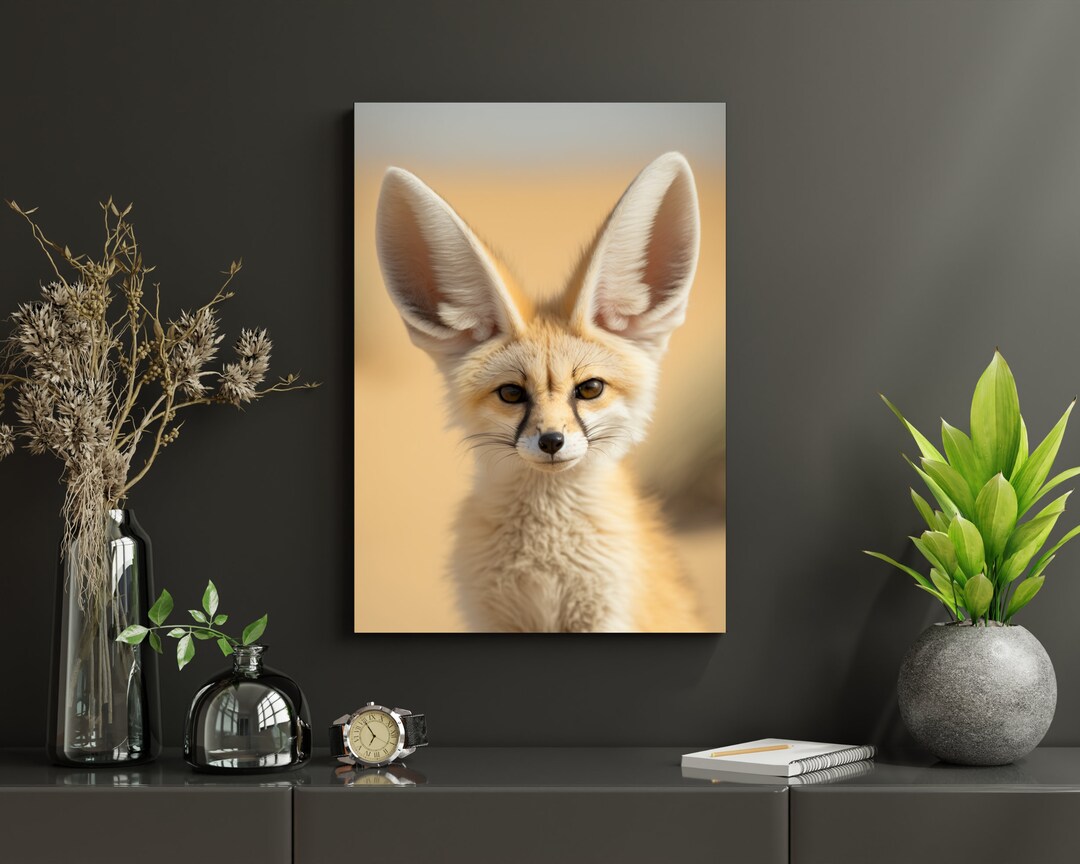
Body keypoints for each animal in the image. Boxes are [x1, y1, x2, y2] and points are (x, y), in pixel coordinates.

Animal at [374, 152, 705, 633]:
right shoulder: (488, 618)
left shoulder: (605, 614)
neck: (545, 567)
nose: (551, 441)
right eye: (512, 394)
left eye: (589, 389)